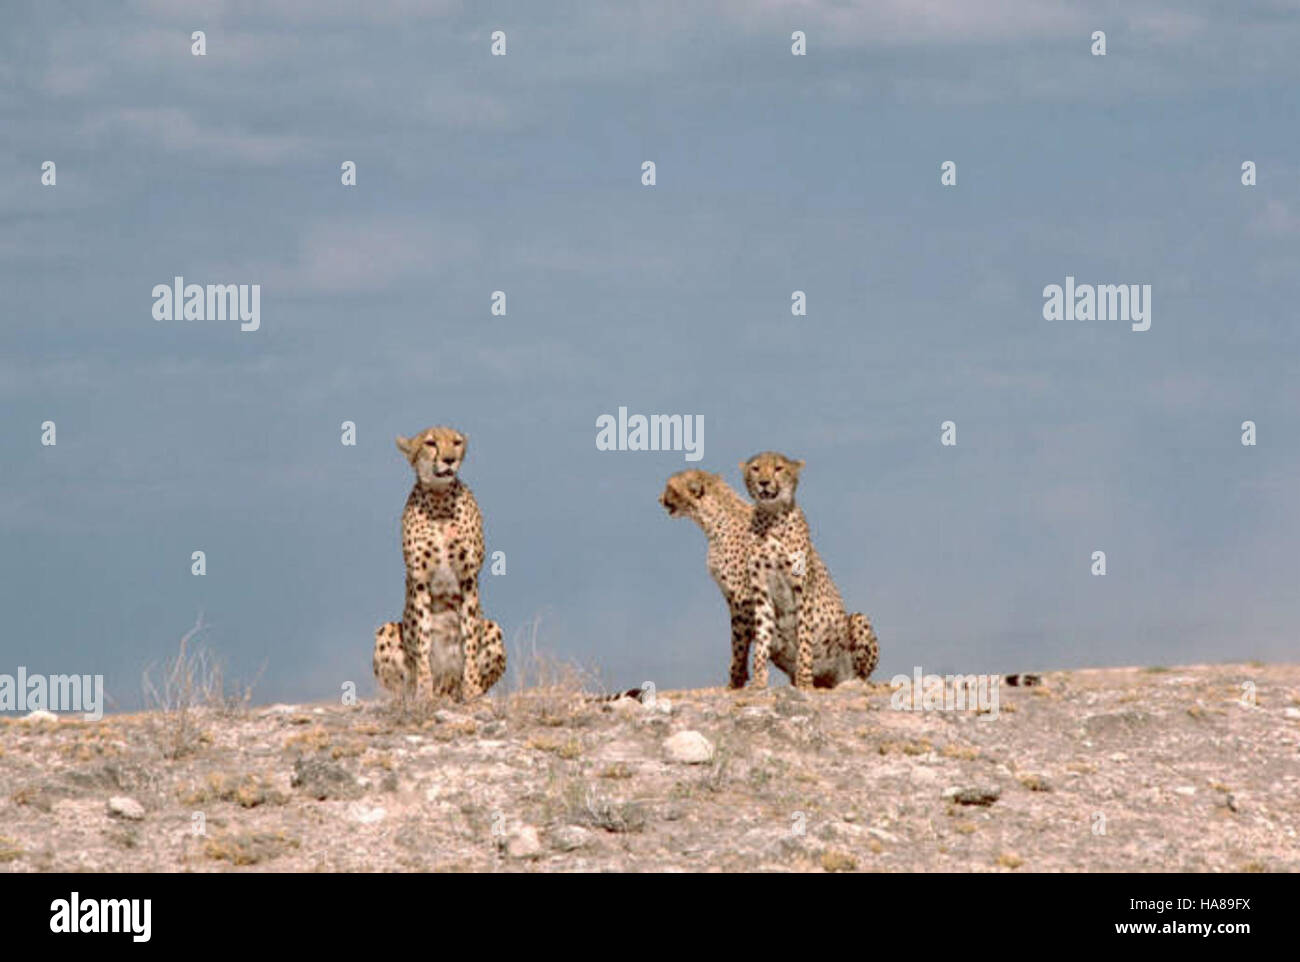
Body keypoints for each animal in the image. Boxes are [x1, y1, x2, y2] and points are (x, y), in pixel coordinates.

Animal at [371, 426, 505, 701]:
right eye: (431, 443)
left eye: (456, 442)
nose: (449, 459)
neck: (439, 498)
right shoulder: (420, 582)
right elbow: (422, 640)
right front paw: (424, 691)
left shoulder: (468, 579)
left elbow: (470, 639)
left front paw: (472, 688)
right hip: (386, 630)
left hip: (493, 628)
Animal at [740, 451, 880, 690]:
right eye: (755, 469)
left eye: (778, 468)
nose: (764, 482)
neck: (771, 516)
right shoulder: (761, 593)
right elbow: (762, 641)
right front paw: (758, 681)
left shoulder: (802, 591)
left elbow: (805, 638)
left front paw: (804, 681)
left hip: (857, 621)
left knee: (861, 674)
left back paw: (852, 682)